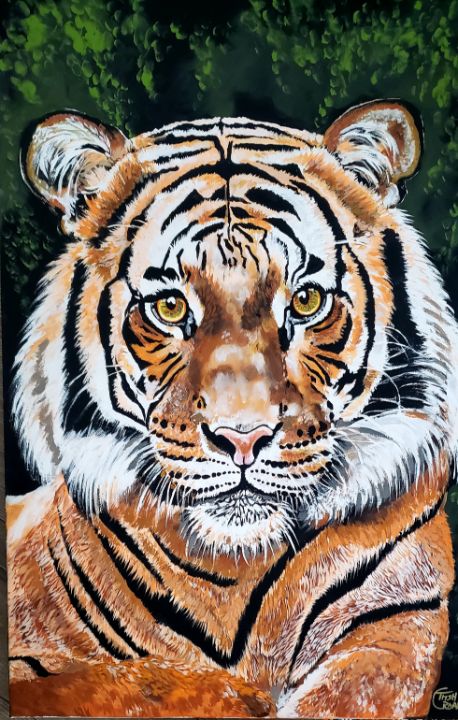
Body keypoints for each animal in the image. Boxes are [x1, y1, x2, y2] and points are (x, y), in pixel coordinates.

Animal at [6, 99, 458, 718]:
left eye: (306, 301)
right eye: (171, 307)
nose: (242, 438)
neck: (231, 570)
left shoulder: (396, 625)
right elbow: (107, 681)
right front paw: (233, 696)